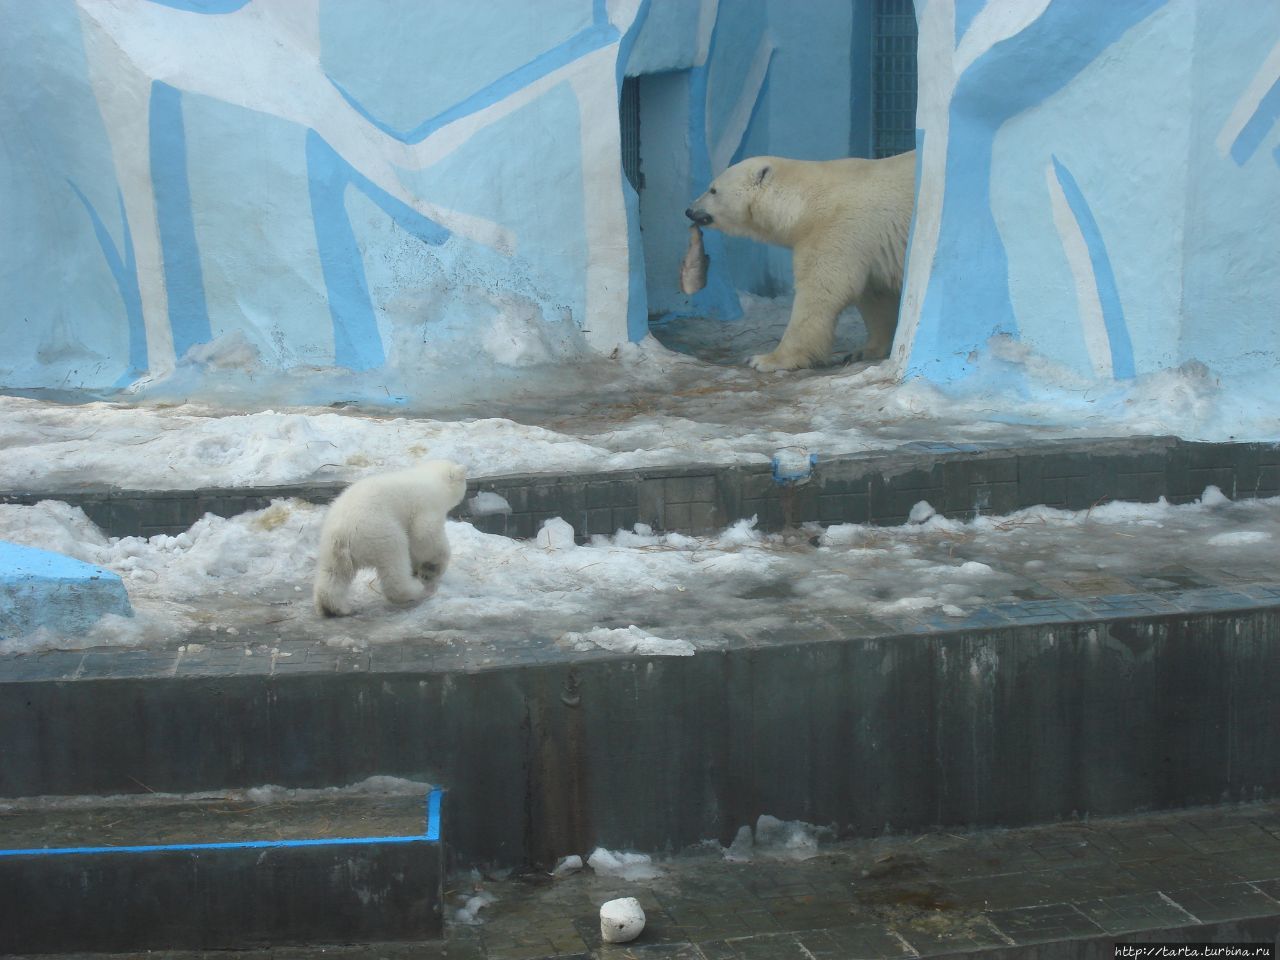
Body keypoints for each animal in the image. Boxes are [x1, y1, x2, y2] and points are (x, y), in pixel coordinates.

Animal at [686, 152, 916, 373]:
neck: (807, 204)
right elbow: (875, 298)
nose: (689, 210)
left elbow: (819, 293)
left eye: (713, 190)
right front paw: (864, 350)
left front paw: (765, 360)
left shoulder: (837, 230)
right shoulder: (868, 249)